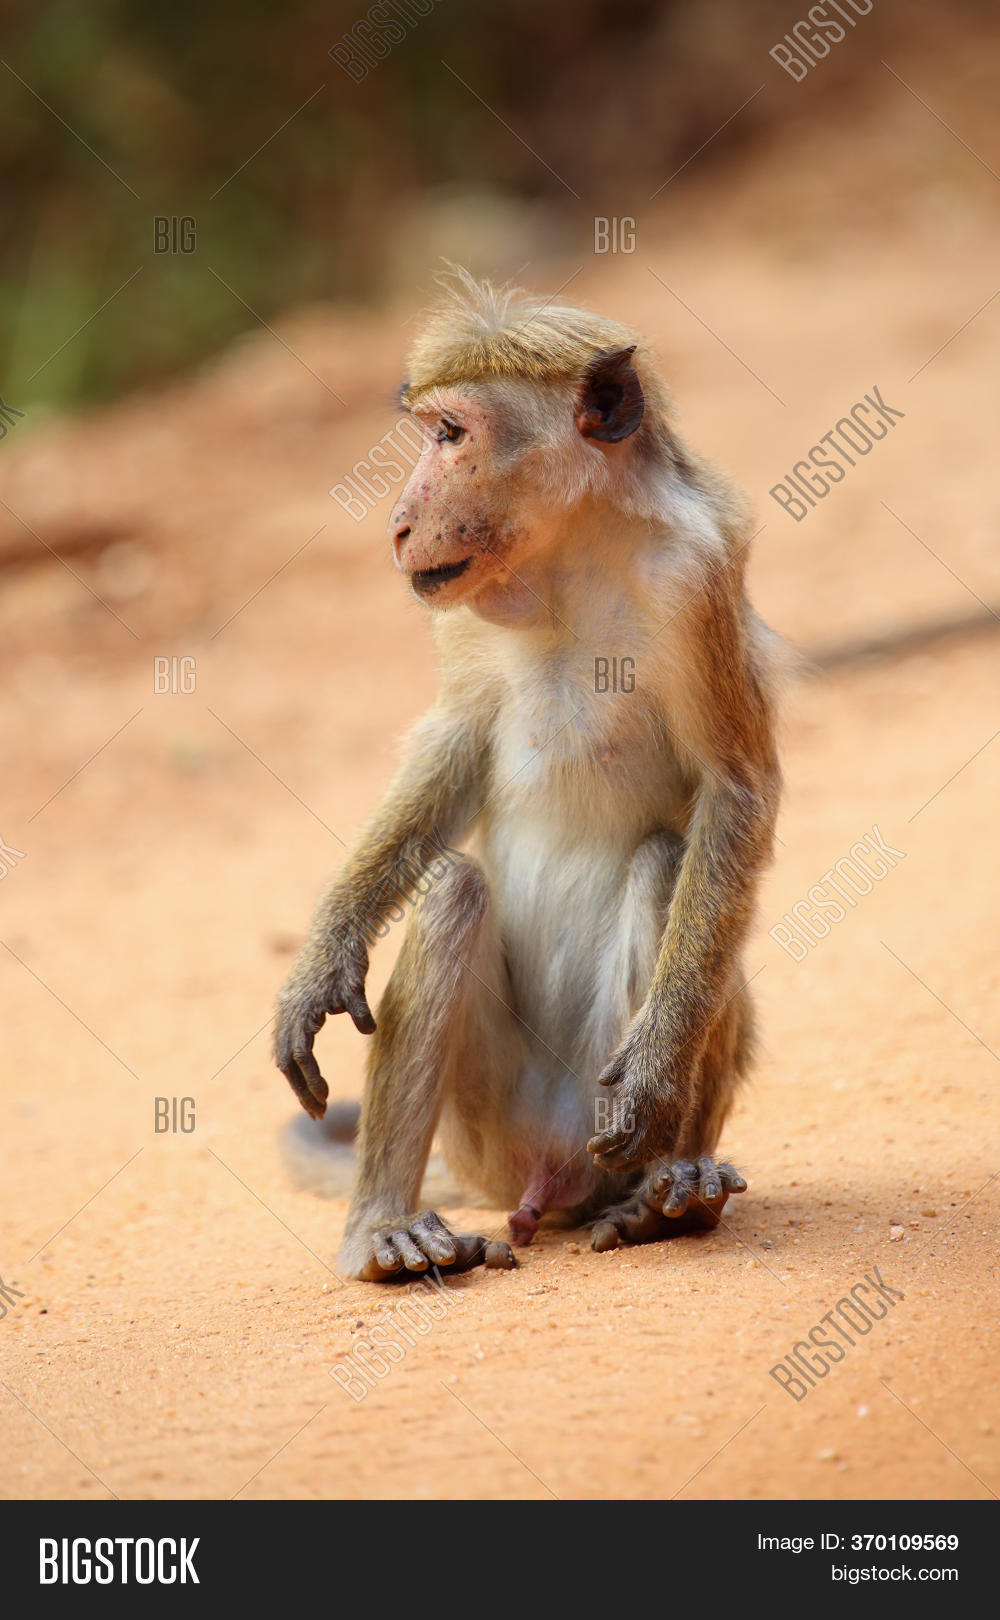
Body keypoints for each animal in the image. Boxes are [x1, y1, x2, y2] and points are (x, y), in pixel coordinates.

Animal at [274, 270, 781, 1281]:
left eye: (450, 435)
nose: (398, 522)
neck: (568, 558)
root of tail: (544, 1180)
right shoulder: (459, 593)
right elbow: (458, 745)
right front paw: (324, 955)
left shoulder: (696, 575)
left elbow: (735, 789)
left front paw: (658, 1076)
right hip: (487, 1130)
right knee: (453, 889)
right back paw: (385, 1227)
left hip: (592, 1107)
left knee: (667, 860)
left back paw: (666, 1191)